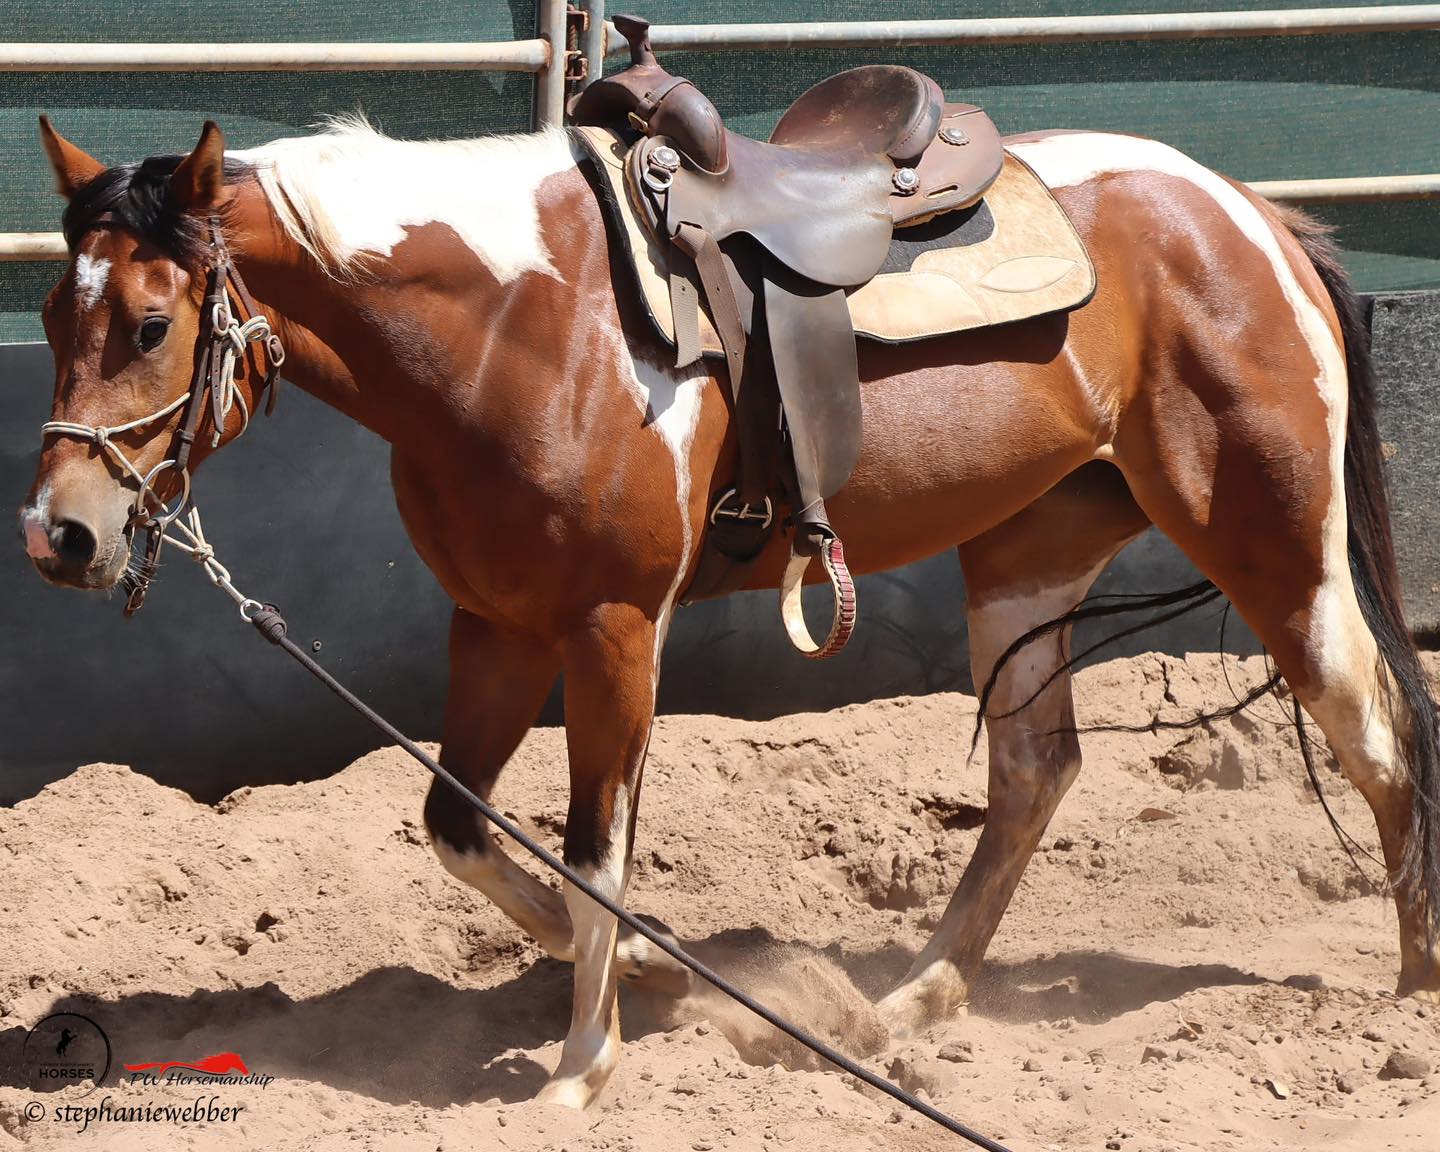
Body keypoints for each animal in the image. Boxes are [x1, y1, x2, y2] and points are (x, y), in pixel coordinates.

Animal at [20, 112, 1439, 1110]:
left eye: (149, 324)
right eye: (49, 309)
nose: (59, 534)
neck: (520, 323)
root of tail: (1249, 213)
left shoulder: (611, 628)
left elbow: (593, 847)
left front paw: (581, 1069)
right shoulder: (497, 623)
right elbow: (463, 828)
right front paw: (664, 978)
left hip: (1276, 545)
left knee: (1373, 731)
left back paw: (1415, 1000)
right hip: (1028, 561)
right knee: (1038, 769)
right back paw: (911, 1003)